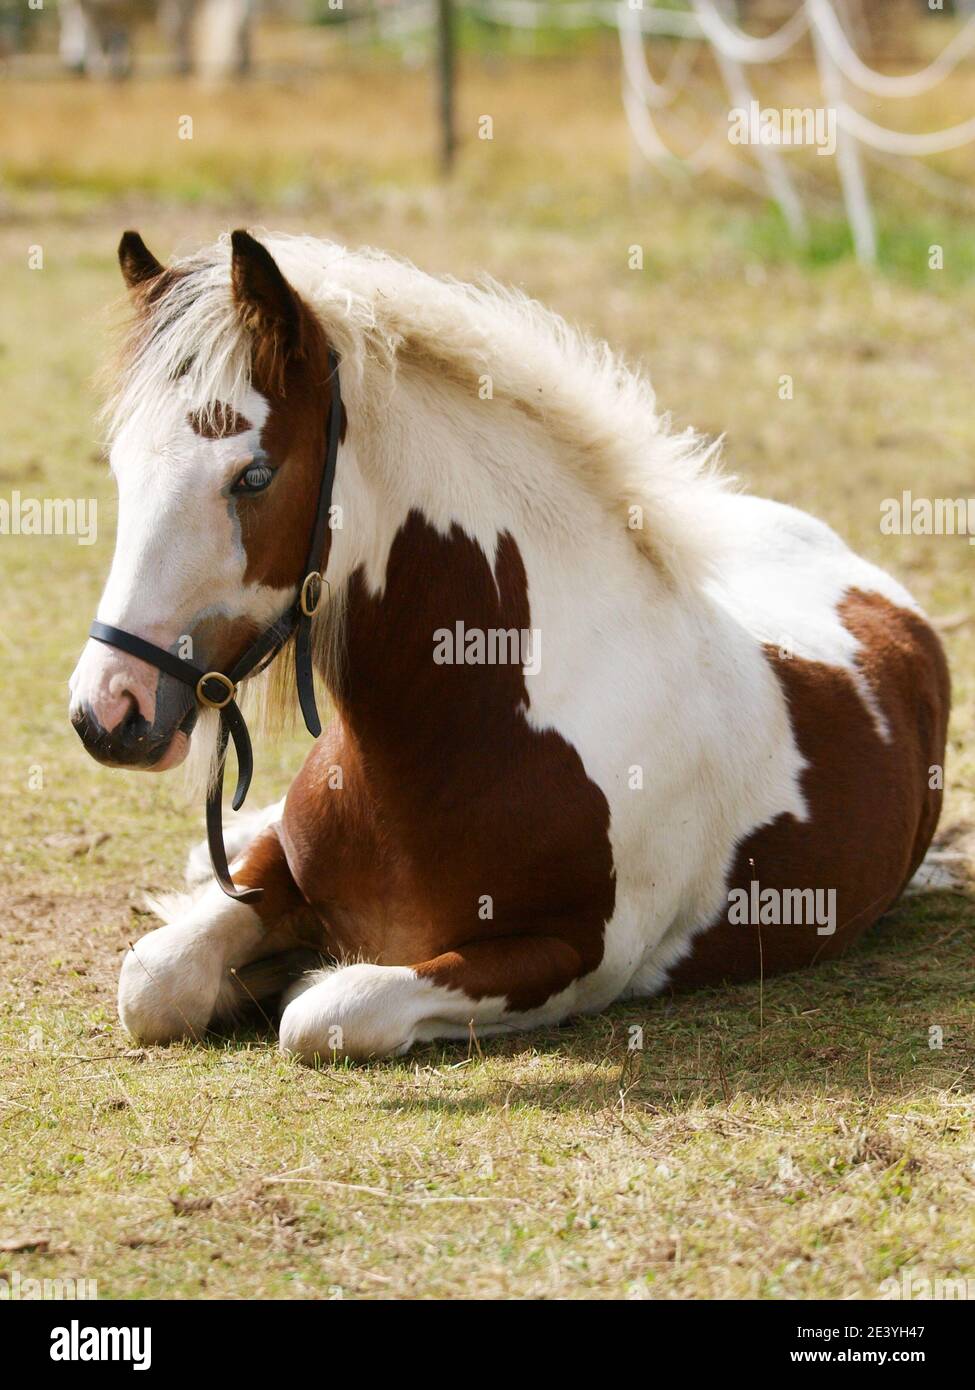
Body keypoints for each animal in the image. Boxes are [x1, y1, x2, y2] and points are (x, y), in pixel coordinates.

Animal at [68, 229, 950, 1063]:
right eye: (119, 467)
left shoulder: (571, 960)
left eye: (253, 475)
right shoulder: (275, 874)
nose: (108, 713)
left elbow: (328, 1009)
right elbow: (155, 980)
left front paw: (287, 981)